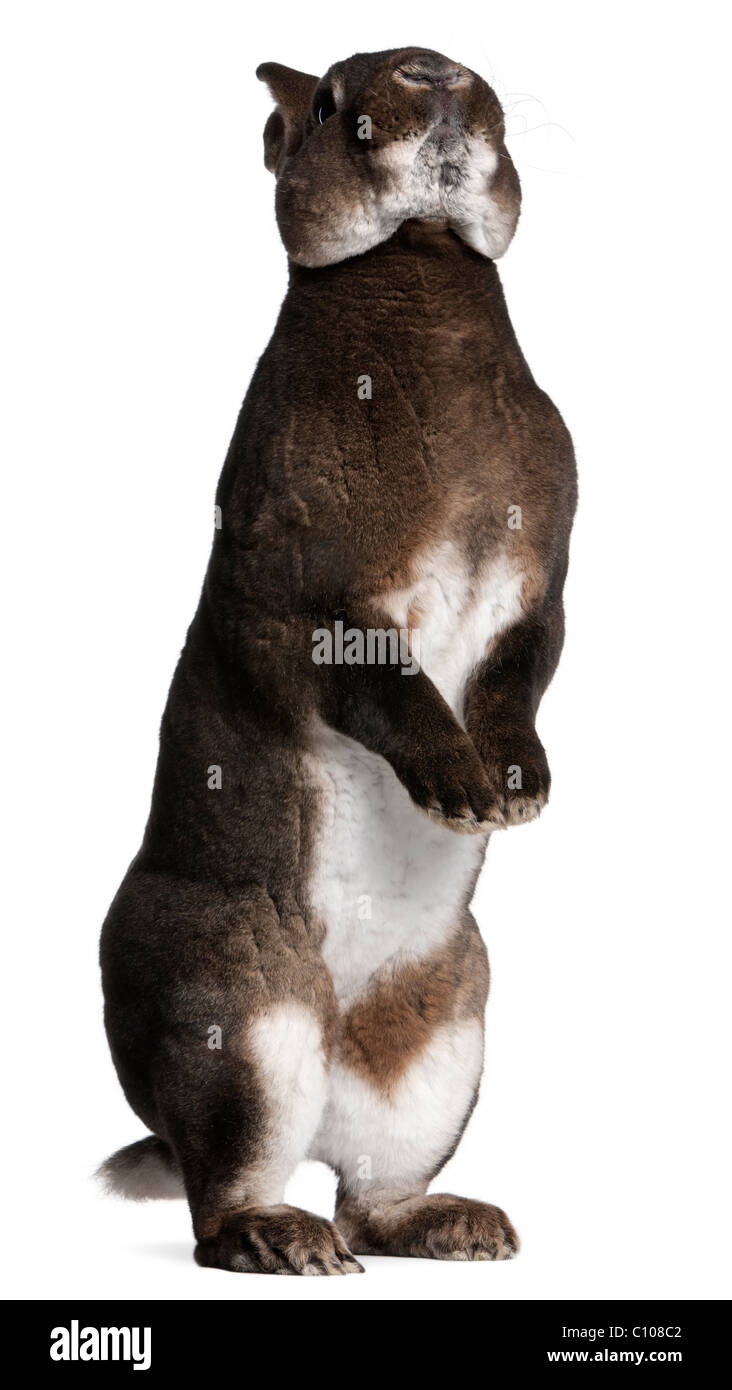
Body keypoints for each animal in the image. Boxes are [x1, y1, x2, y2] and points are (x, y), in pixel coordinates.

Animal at [98, 46, 576, 1274]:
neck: (419, 269)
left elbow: (516, 677)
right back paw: (284, 1241)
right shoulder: (307, 605)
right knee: (224, 1189)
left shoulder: (536, 594)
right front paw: (463, 792)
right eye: (323, 103)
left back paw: (458, 1225)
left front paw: (517, 789)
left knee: (375, 1191)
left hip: (450, 1031)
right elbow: (386, 688)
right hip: (240, 1019)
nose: (437, 74)